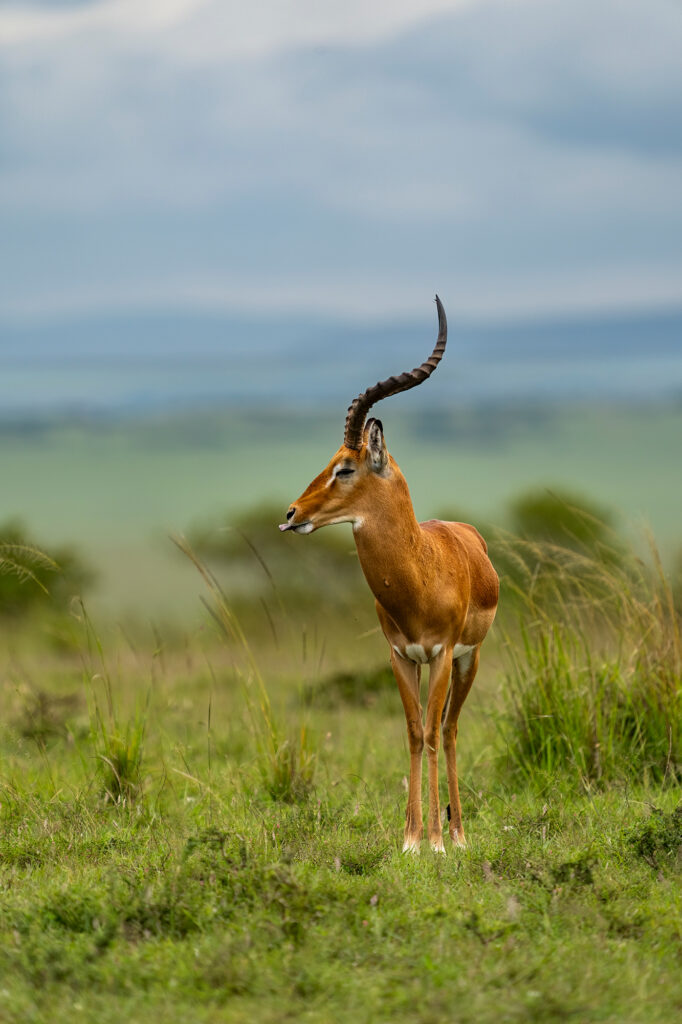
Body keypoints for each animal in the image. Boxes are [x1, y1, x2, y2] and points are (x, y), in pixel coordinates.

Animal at [279, 297, 499, 852]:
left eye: (345, 467)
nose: (292, 514)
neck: (418, 575)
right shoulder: (400, 656)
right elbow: (412, 732)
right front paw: (410, 840)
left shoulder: (440, 654)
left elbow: (433, 733)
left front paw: (436, 842)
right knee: (434, 730)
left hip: (470, 660)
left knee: (450, 730)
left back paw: (459, 835)